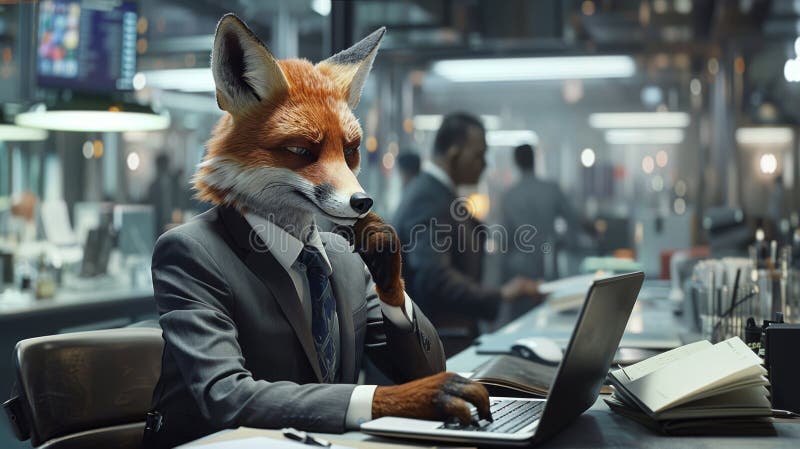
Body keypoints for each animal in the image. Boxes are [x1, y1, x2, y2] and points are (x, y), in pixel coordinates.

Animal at [191, 14, 491, 427]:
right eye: (301, 150)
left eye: (350, 151)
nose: (363, 202)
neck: (300, 247)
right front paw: (435, 393)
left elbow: (424, 356)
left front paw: (381, 249)